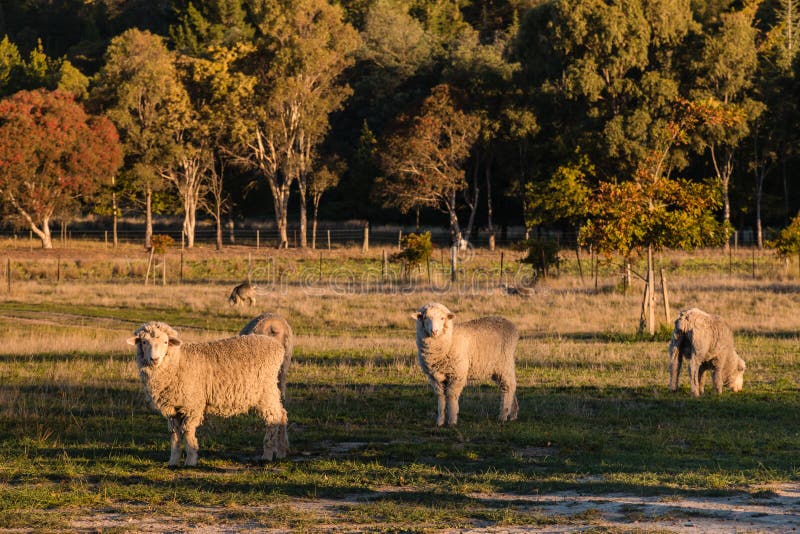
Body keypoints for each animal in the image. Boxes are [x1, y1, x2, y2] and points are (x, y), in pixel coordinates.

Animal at [127, 321, 289, 467]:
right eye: (144, 342)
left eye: (166, 342)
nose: (154, 359)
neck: (178, 362)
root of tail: (277, 346)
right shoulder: (173, 409)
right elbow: (175, 435)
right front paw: (173, 461)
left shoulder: (192, 405)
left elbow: (187, 432)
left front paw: (191, 461)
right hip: (271, 390)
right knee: (282, 414)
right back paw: (281, 452)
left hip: (266, 391)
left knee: (273, 418)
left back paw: (267, 455)